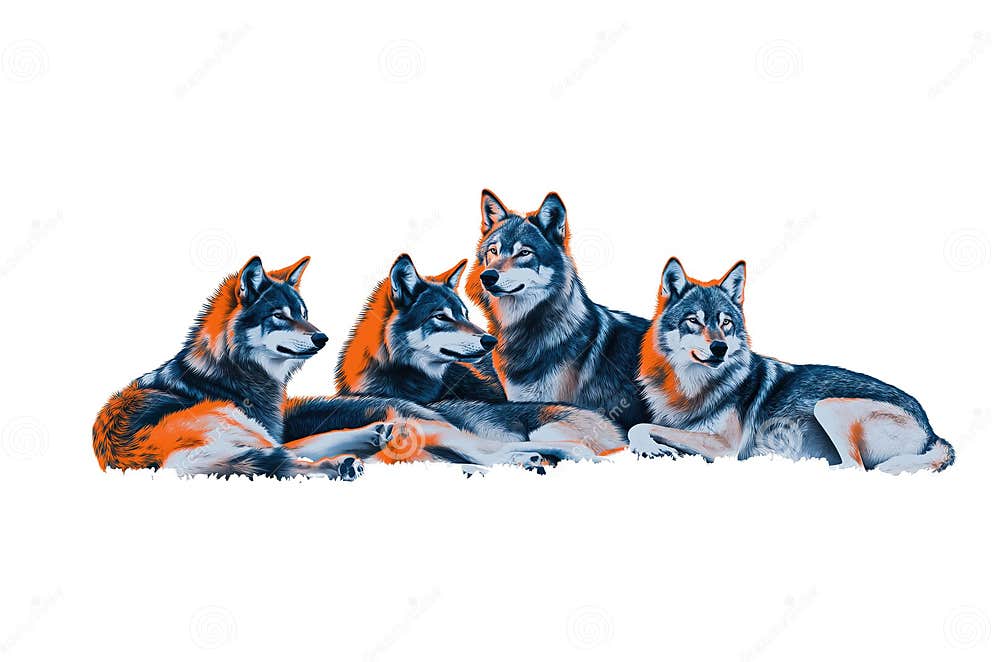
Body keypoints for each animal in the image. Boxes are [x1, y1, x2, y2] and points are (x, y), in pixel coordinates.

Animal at [93, 256, 392, 479]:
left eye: (303, 315)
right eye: (279, 315)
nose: (322, 338)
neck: (233, 369)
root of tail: (157, 455)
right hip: (244, 425)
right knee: (290, 457)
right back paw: (341, 464)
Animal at [628, 257, 955, 473]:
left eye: (726, 322)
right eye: (693, 320)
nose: (719, 348)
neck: (694, 387)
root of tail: (931, 431)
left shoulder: (725, 446)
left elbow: (639, 425)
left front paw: (651, 446)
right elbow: (645, 425)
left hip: (827, 406)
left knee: (855, 467)